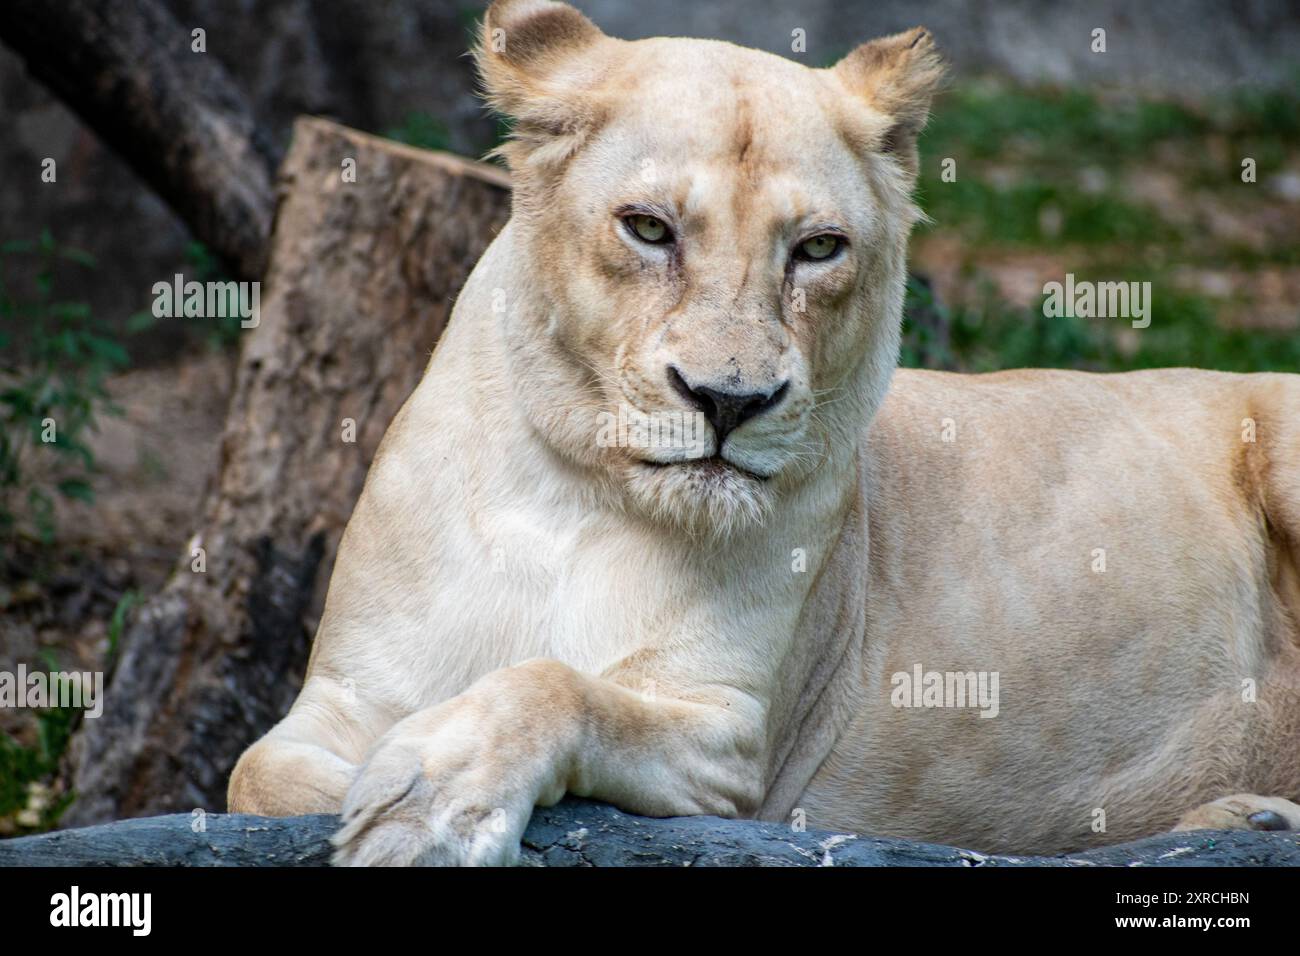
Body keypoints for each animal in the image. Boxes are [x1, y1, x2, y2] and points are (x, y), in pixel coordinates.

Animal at [228, 0, 1300, 864]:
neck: (580, 499)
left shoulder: (728, 744)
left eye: (818, 248)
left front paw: (429, 810)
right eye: (647, 228)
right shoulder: (339, 706)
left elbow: (556, 686)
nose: (728, 400)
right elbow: (257, 774)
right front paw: (390, 796)